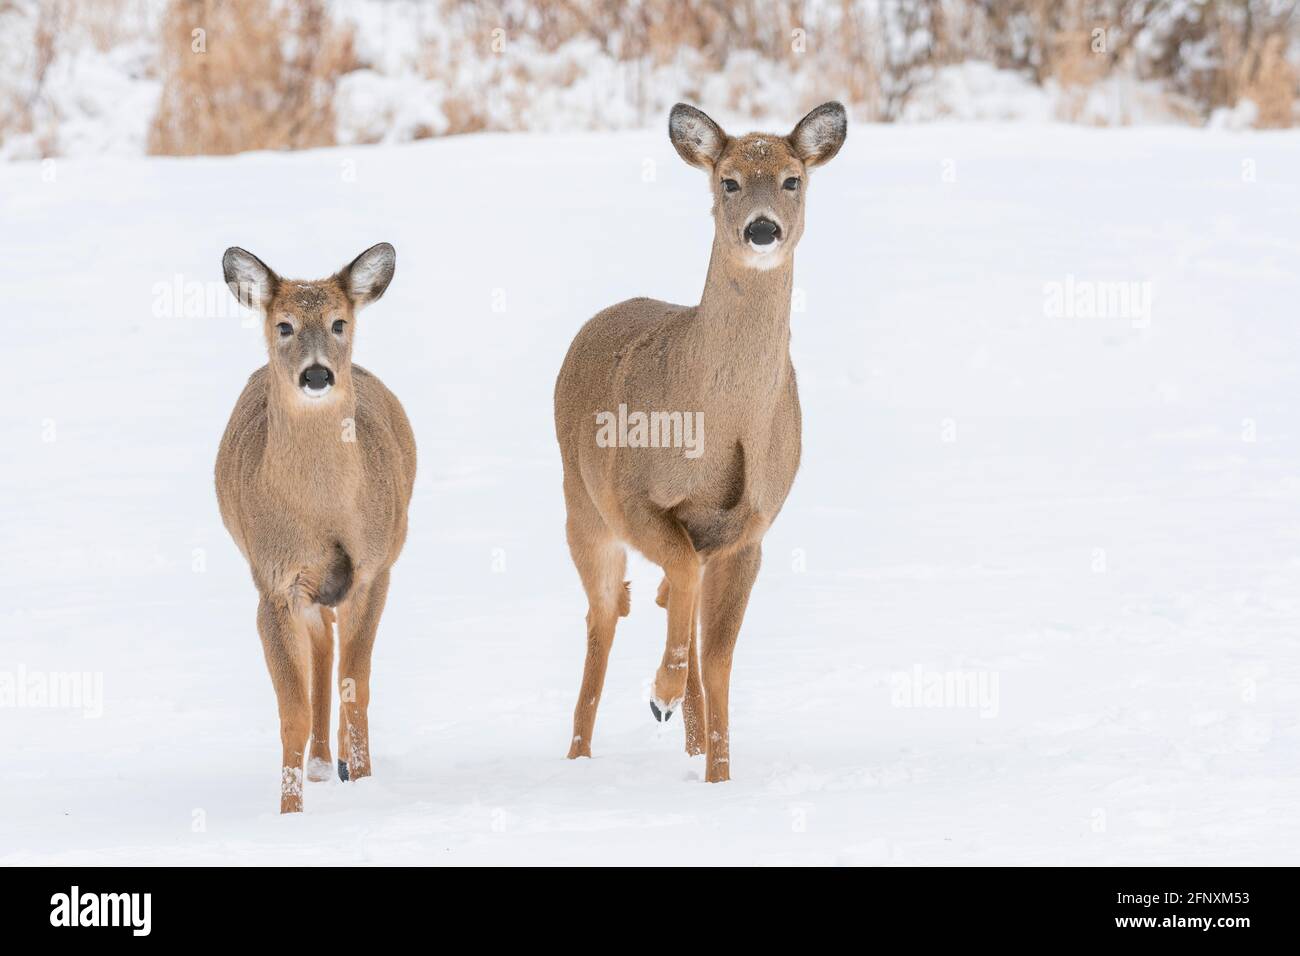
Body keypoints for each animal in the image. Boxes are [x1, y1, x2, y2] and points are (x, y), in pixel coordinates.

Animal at [215, 242, 416, 813]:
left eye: (339, 322)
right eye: (283, 325)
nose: (318, 375)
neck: (323, 512)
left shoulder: (373, 570)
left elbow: (357, 686)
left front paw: (367, 784)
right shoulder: (274, 583)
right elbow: (293, 710)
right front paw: (290, 811)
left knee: (335, 652)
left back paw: (340, 764)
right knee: (322, 645)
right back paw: (323, 766)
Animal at [554, 102, 847, 782]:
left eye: (793, 179)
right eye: (729, 181)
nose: (762, 230)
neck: (722, 422)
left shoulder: (751, 529)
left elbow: (718, 660)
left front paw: (718, 776)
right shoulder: (631, 496)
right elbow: (680, 580)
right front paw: (660, 693)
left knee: (662, 603)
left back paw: (684, 741)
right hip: (582, 507)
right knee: (603, 617)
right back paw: (579, 756)